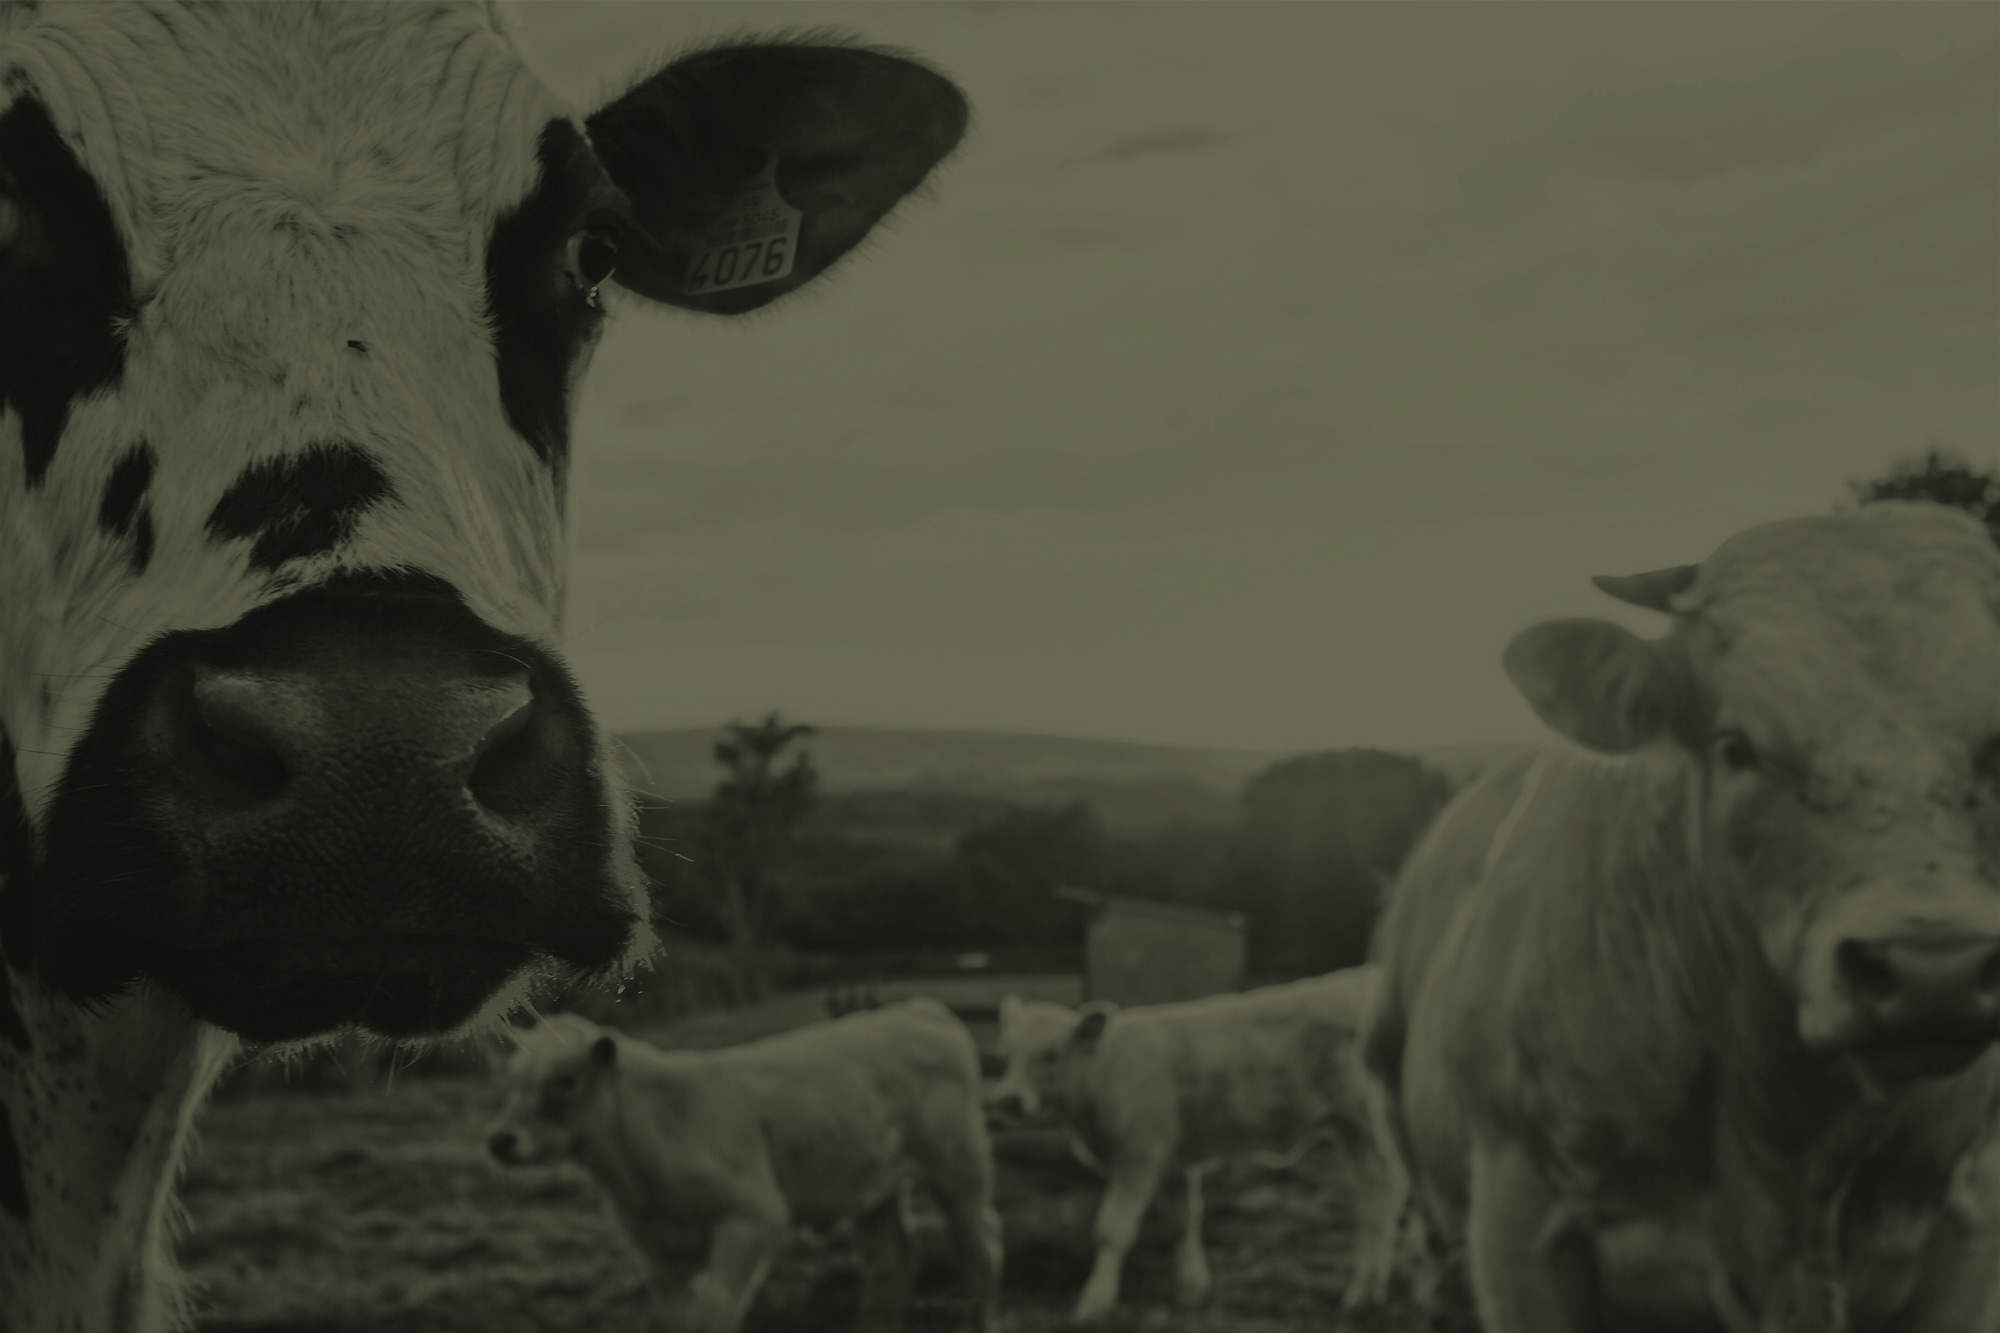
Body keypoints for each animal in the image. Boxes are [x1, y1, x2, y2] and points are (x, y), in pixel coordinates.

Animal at [486, 1003, 1005, 1333]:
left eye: (565, 1080)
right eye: (509, 1079)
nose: (500, 1140)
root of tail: (921, 1010)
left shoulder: (752, 1218)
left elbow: (712, 1314)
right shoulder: (658, 1250)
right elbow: (675, 1321)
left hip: (961, 1169)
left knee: (978, 1256)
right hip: (872, 1187)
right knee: (891, 1264)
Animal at [987, 966, 1401, 1323]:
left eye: (1051, 1055)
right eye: (1006, 1055)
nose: (1008, 1099)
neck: (1103, 1074)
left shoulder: (1141, 1153)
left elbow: (1113, 1229)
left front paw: (1095, 1301)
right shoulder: (1173, 1159)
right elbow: (1183, 1220)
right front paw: (1192, 1288)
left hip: (1370, 1122)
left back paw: (1368, 1292)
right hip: (1349, 1129)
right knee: (1372, 1197)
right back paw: (1364, 1293)